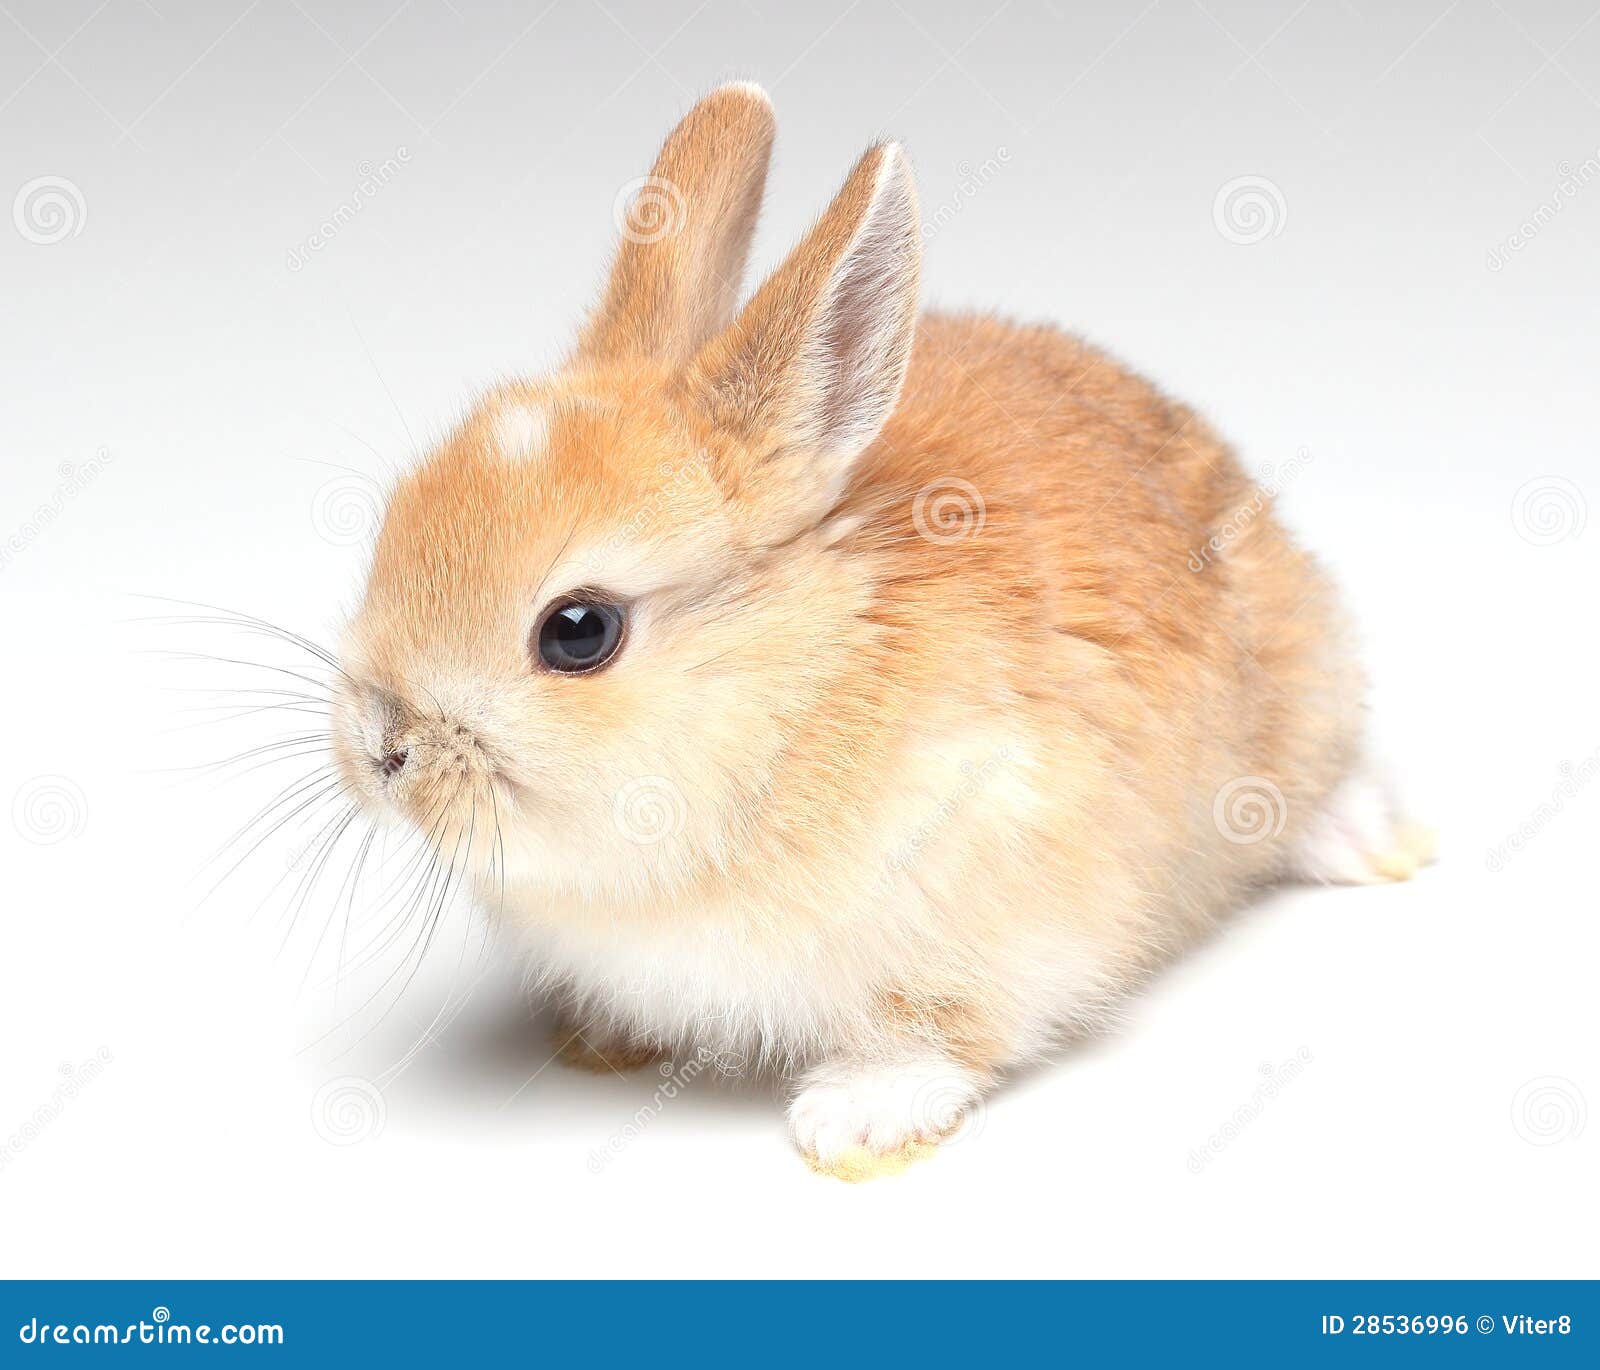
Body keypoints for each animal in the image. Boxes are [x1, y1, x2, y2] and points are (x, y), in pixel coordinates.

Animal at [330, 83, 1432, 1179]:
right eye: (393, 522)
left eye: (578, 631)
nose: (383, 750)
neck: (793, 694)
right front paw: (600, 1042)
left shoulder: (1007, 879)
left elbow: (944, 1026)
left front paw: (854, 1124)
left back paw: (1372, 846)